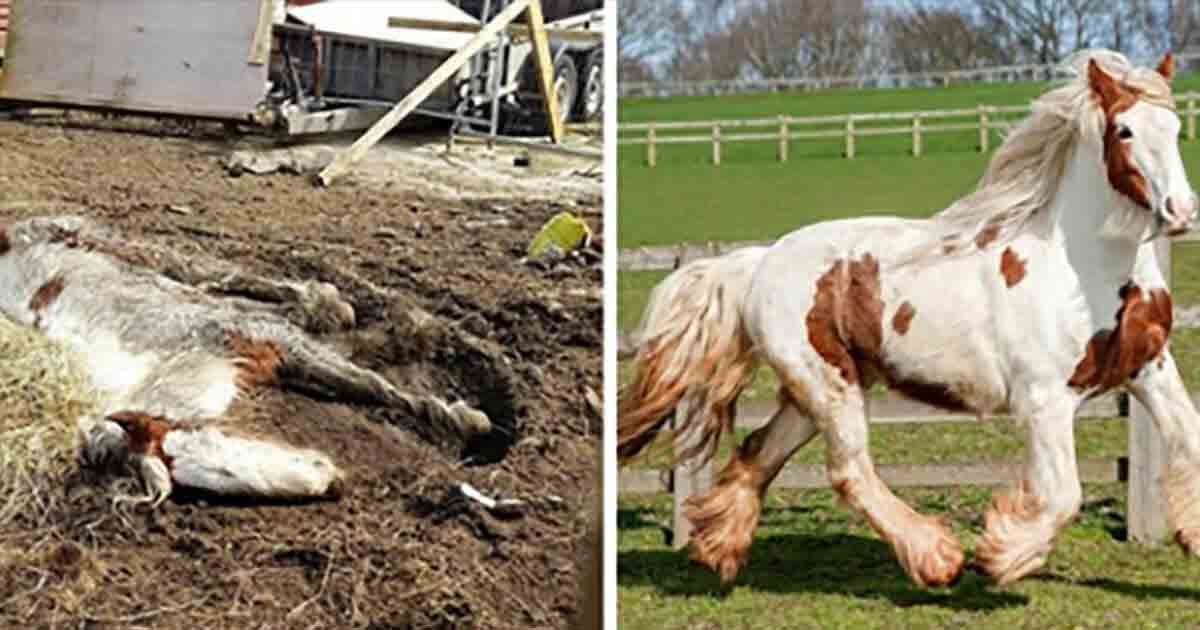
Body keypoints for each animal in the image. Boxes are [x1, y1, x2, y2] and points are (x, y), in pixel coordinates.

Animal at [0, 215, 492, 506]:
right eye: (208, 474)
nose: (331, 482)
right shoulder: (270, 349)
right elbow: (357, 378)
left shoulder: (275, 340)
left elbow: (371, 384)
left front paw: (466, 418)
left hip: (109, 242)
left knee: (207, 270)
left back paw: (339, 306)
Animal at [618, 50, 1199, 588]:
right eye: (1124, 130)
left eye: (1174, 126)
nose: (1181, 212)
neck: (1083, 269)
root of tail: (759, 261)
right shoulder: (1044, 400)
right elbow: (1062, 495)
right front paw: (999, 557)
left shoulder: (1149, 369)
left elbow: (1191, 438)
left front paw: (1190, 535)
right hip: (830, 383)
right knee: (849, 470)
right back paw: (937, 558)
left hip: (815, 391)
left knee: (760, 452)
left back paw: (716, 550)